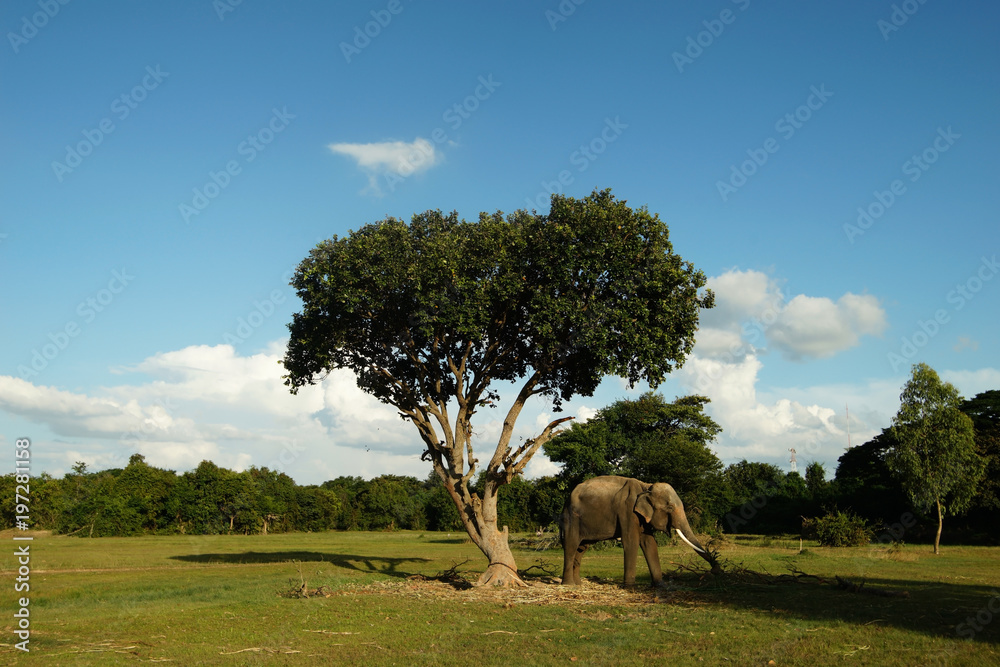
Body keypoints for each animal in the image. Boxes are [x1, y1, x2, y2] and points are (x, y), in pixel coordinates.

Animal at [560, 475, 721, 586]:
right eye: (669, 507)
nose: (715, 570)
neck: (646, 486)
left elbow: (649, 543)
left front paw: (660, 585)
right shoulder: (627, 511)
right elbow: (631, 542)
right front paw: (629, 587)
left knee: (581, 548)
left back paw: (578, 584)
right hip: (571, 518)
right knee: (571, 545)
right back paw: (569, 585)